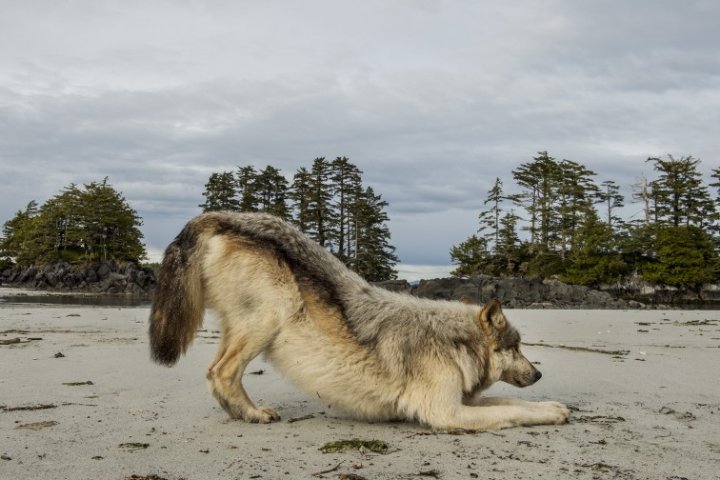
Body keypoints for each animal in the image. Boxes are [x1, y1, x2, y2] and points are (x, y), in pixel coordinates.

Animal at [149, 211, 570, 431]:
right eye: (516, 347)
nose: (538, 374)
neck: (452, 342)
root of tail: (219, 215)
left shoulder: (467, 400)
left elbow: (509, 400)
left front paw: (553, 405)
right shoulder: (445, 412)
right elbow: (511, 410)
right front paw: (549, 413)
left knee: (217, 374)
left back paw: (239, 413)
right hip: (268, 319)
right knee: (220, 372)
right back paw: (252, 414)